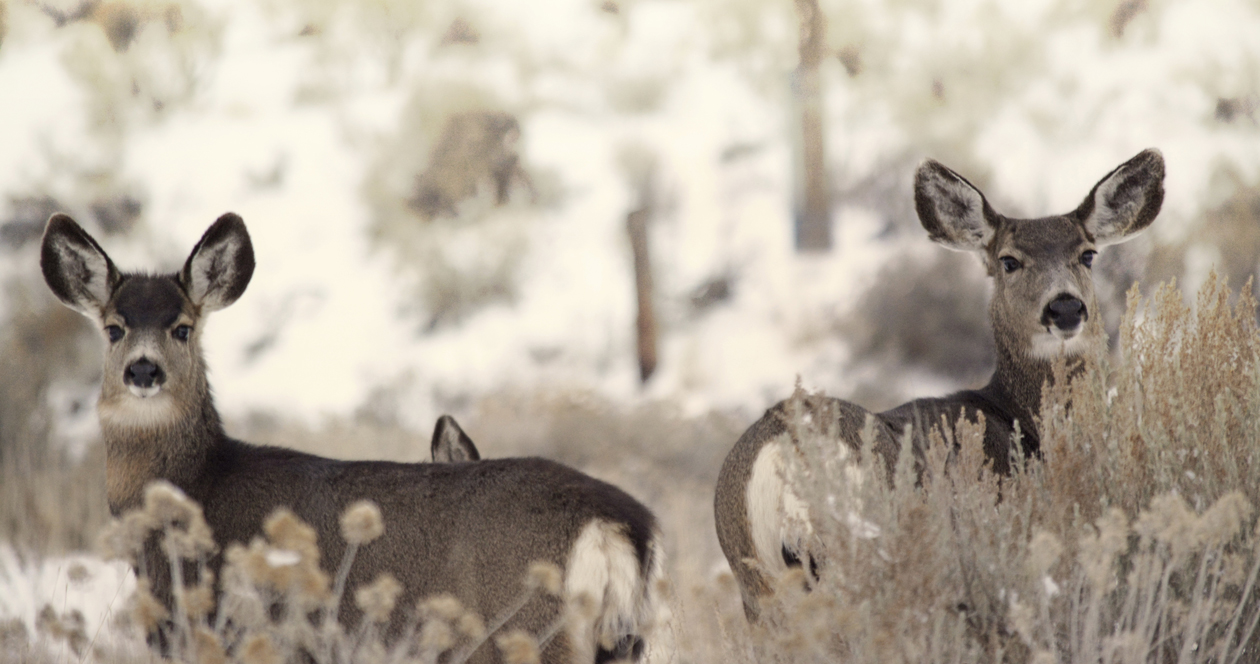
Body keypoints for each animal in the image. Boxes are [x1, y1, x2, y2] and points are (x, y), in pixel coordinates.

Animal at [40, 212, 661, 664]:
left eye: (182, 328)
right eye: (113, 327)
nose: (143, 371)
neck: (196, 489)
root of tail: (618, 523)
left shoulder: (224, 632)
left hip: (528, 631)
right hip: (620, 640)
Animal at [714, 149, 1166, 622]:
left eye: (1087, 254)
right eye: (1009, 260)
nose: (1064, 307)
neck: (1022, 419)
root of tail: (786, 447)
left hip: (758, 589)